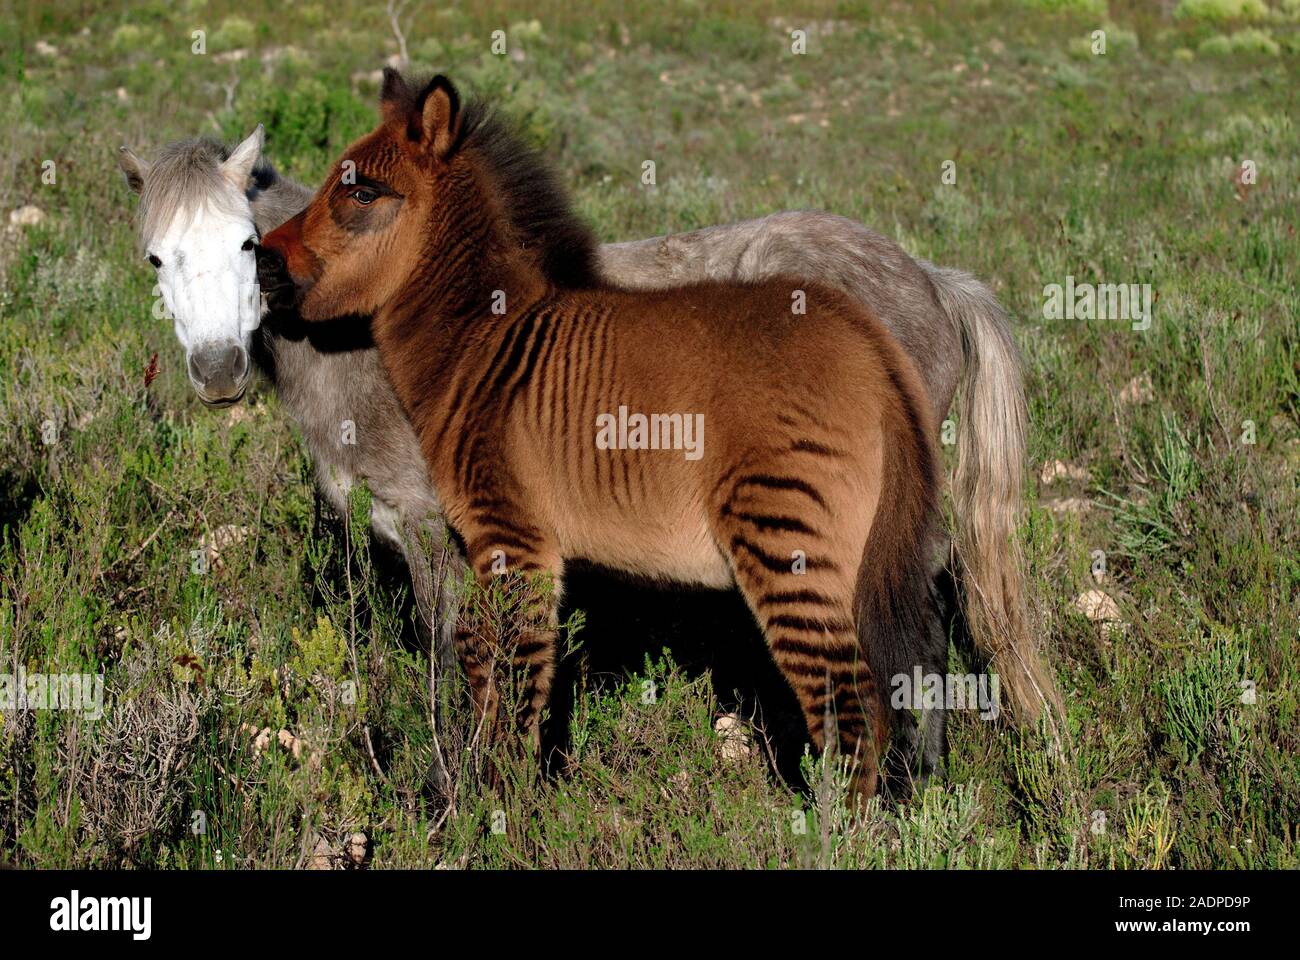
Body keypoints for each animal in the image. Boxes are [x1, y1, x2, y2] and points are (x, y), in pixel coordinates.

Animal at [119, 109, 1058, 789]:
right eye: (156, 259)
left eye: (247, 246)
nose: (217, 372)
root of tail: (930, 279)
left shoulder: (444, 535)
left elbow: (454, 661)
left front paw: (457, 788)